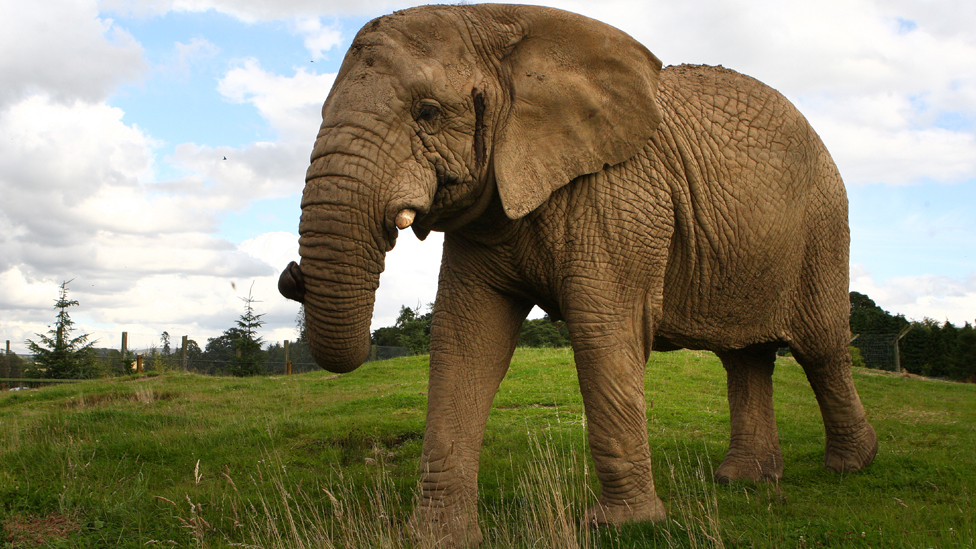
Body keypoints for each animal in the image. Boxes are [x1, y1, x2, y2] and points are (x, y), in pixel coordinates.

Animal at [277, 4, 878, 546]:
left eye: (427, 112)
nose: (291, 276)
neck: (501, 27)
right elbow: (465, 342)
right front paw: (436, 538)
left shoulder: (621, 190)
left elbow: (603, 332)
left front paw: (625, 528)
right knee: (744, 357)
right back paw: (745, 482)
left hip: (824, 225)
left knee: (822, 346)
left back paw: (852, 467)